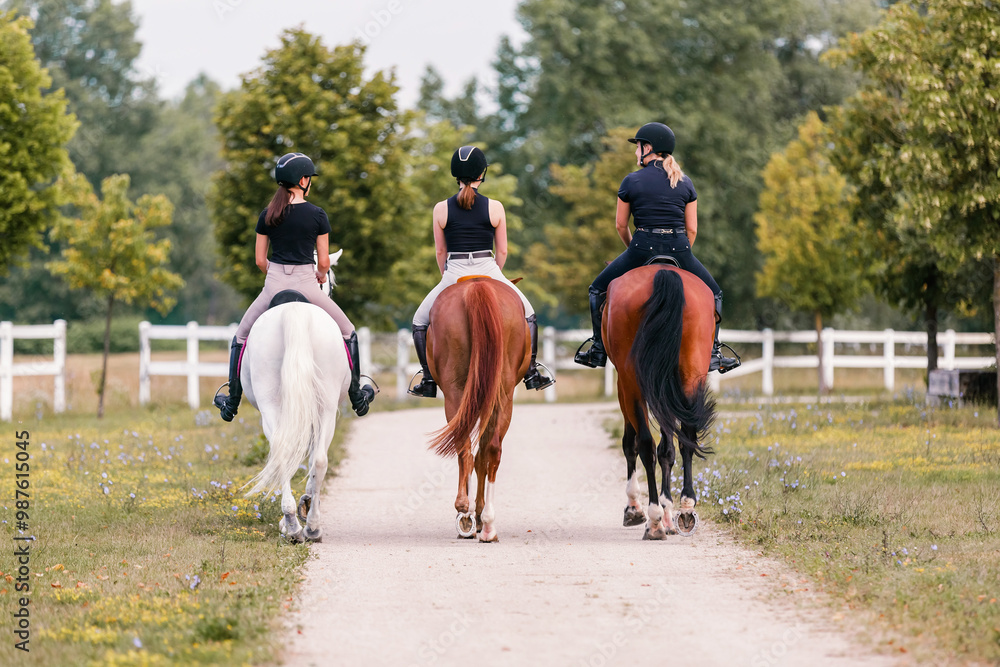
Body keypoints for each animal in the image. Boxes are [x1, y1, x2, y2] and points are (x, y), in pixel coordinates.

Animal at [240, 299, 351, 543]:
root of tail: (294, 310)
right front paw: (306, 504)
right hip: (325, 410)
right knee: (316, 460)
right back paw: (308, 526)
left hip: (275, 407)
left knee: (288, 454)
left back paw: (293, 525)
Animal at [425, 277, 530, 543]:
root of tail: (476, 285)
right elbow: (482, 454)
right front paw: (478, 515)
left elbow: (478, 455)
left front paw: (476, 515)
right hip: (498, 393)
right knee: (486, 450)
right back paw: (481, 521)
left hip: (459, 392)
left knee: (470, 449)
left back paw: (468, 514)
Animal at [604, 264, 717, 540]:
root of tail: (663, 271)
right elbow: (668, 449)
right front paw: (669, 513)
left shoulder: (624, 386)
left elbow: (631, 444)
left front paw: (636, 509)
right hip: (689, 374)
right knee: (686, 439)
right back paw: (686, 508)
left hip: (632, 382)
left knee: (645, 444)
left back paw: (653, 519)